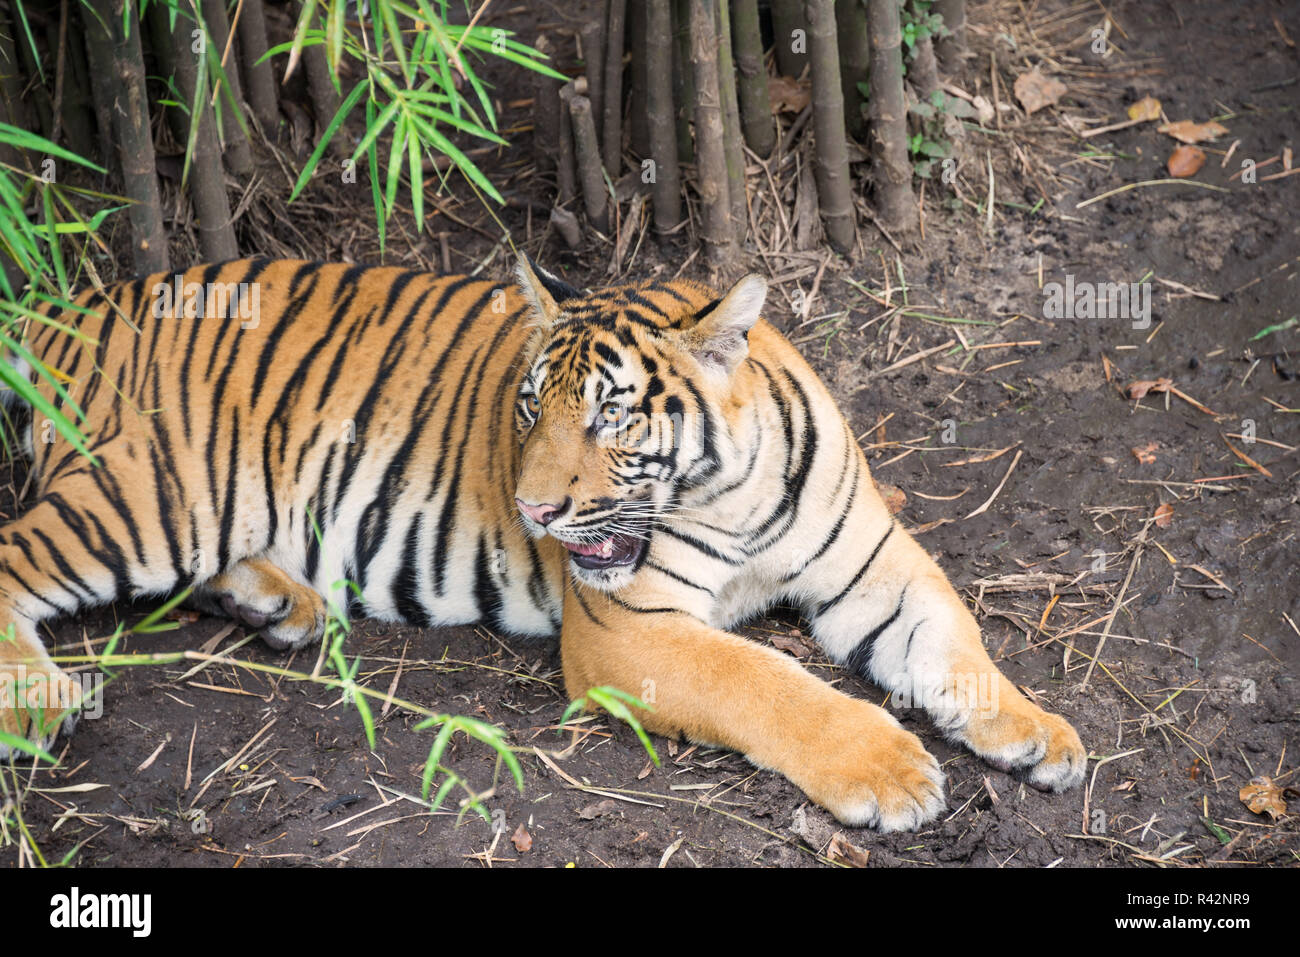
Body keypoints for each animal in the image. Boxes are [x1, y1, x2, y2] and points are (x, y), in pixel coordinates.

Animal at [0, 256, 1085, 830]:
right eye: (528, 409)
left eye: (609, 416)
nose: (533, 511)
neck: (734, 493)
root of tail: (85, 299)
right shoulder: (629, 630)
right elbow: (768, 683)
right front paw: (890, 769)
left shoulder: (877, 564)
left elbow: (954, 641)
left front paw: (1040, 734)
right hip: (153, 494)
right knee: (15, 556)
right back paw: (40, 702)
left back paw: (279, 603)